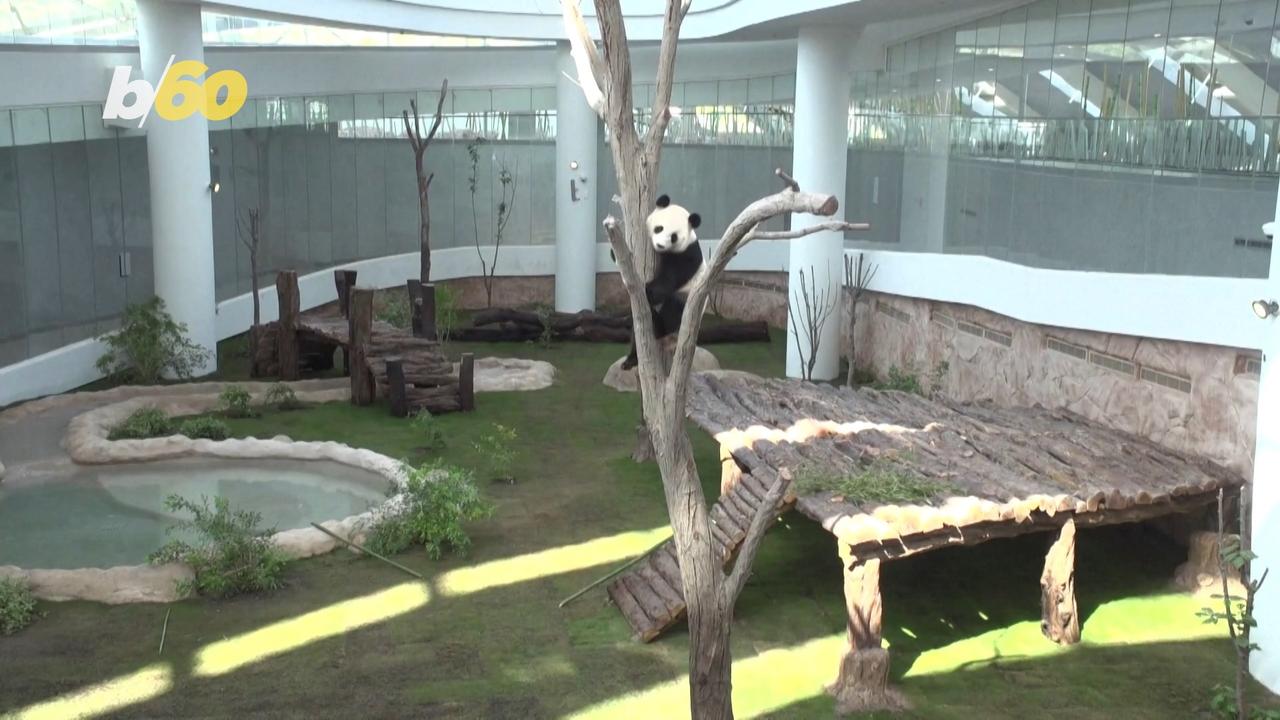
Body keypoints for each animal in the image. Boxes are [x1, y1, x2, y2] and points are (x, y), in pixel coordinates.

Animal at [621, 194, 703, 370]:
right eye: (659, 228)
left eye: (673, 237)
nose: (659, 244)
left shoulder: (686, 255)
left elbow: (668, 281)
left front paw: (647, 291)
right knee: (636, 335)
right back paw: (630, 360)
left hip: (685, 304)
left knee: (674, 306)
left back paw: (658, 324)